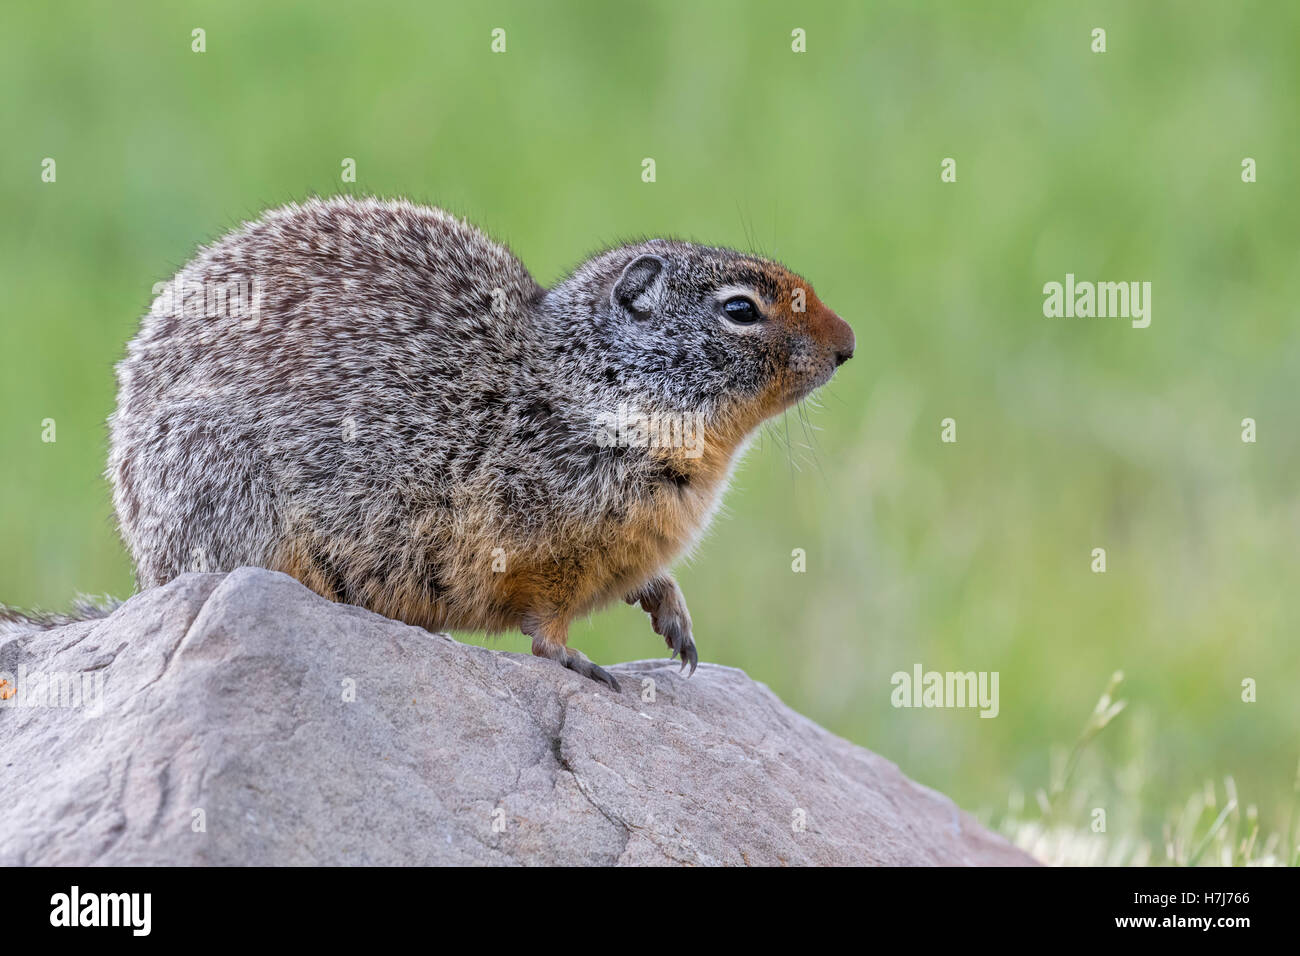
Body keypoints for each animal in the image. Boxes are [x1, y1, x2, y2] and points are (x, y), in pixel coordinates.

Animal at [5, 197, 854, 690]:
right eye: (740, 309)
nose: (849, 344)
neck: (592, 392)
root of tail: (148, 577)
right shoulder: (529, 530)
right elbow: (543, 617)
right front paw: (580, 660)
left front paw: (672, 615)